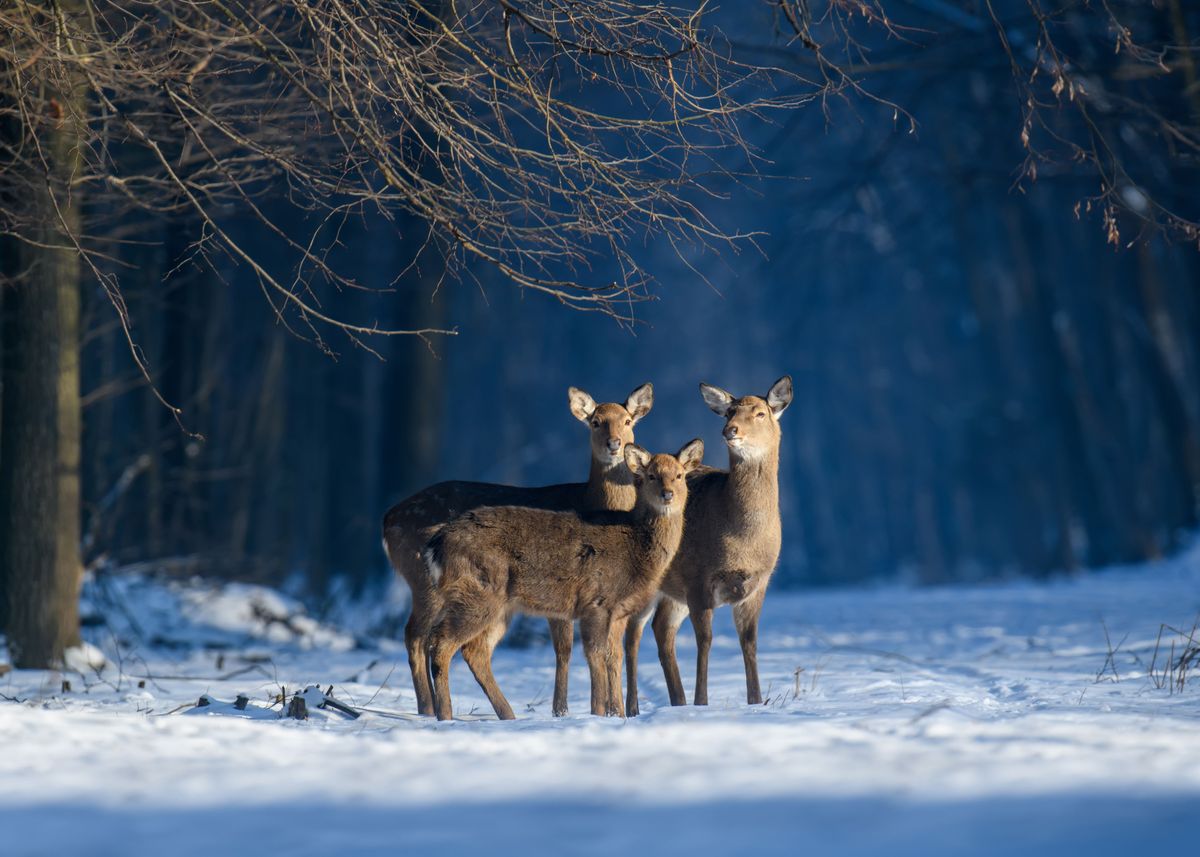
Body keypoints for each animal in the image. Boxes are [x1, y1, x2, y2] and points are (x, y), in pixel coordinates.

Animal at [381, 383, 654, 717]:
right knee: (416, 635)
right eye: (595, 422)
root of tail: (387, 519)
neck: (593, 502)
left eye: (628, 421)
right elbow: (566, 649)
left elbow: (610, 651)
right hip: (425, 580)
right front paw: (564, 711)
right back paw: (430, 709)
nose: (614, 444)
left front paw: (616, 712)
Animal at [424, 439, 705, 721]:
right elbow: (596, 656)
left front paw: (618, 714)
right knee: (440, 643)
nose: (667, 494)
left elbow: (614, 657)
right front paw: (598, 712)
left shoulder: (619, 612)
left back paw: (508, 715)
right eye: (651, 476)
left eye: (679, 475)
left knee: (475, 651)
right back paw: (446, 715)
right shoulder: (595, 602)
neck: (635, 548)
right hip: (477, 592)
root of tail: (436, 545)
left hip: (500, 606)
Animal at [623, 376, 792, 716]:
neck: (741, 541)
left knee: (661, 630)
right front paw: (702, 702)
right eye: (729, 412)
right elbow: (706, 640)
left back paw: (677, 701)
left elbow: (750, 642)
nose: (730, 431)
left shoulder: (759, 582)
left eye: (760, 413)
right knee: (632, 635)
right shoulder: (698, 578)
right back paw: (633, 707)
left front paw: (756, 700)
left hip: (672, 591)